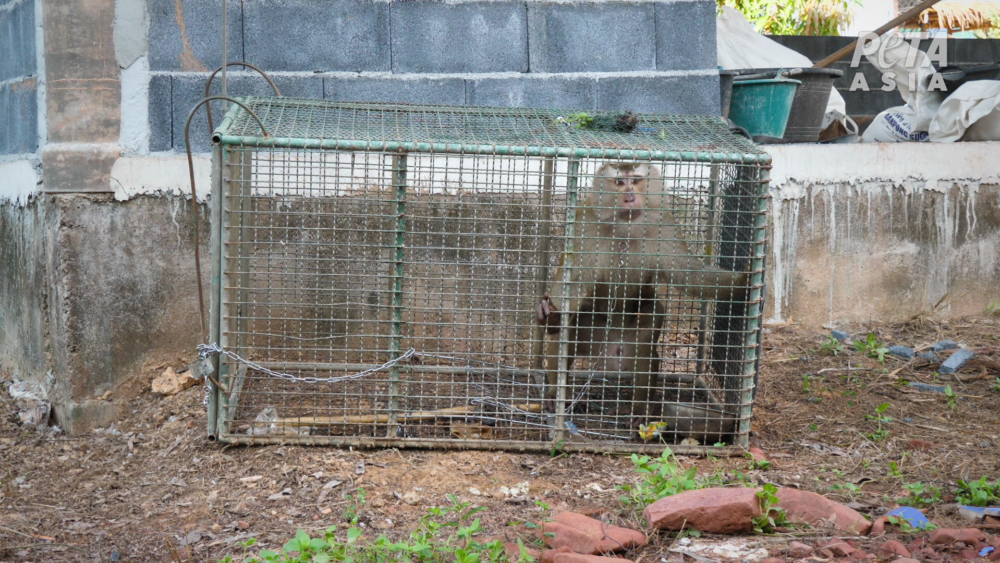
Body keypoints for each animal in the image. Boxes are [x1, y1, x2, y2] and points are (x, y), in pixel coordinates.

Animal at [536, 162, 751, 428]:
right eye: (619, 182)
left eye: (636, 180)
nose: (630, 197)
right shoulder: (585, 225)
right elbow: (573, 278)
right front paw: (550, 317)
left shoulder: (664, 227)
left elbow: (689, 273)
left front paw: (744, 281)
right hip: (591, 333)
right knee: (566, 330)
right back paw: (557, 394)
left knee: (648, 332)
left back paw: (638, 408)